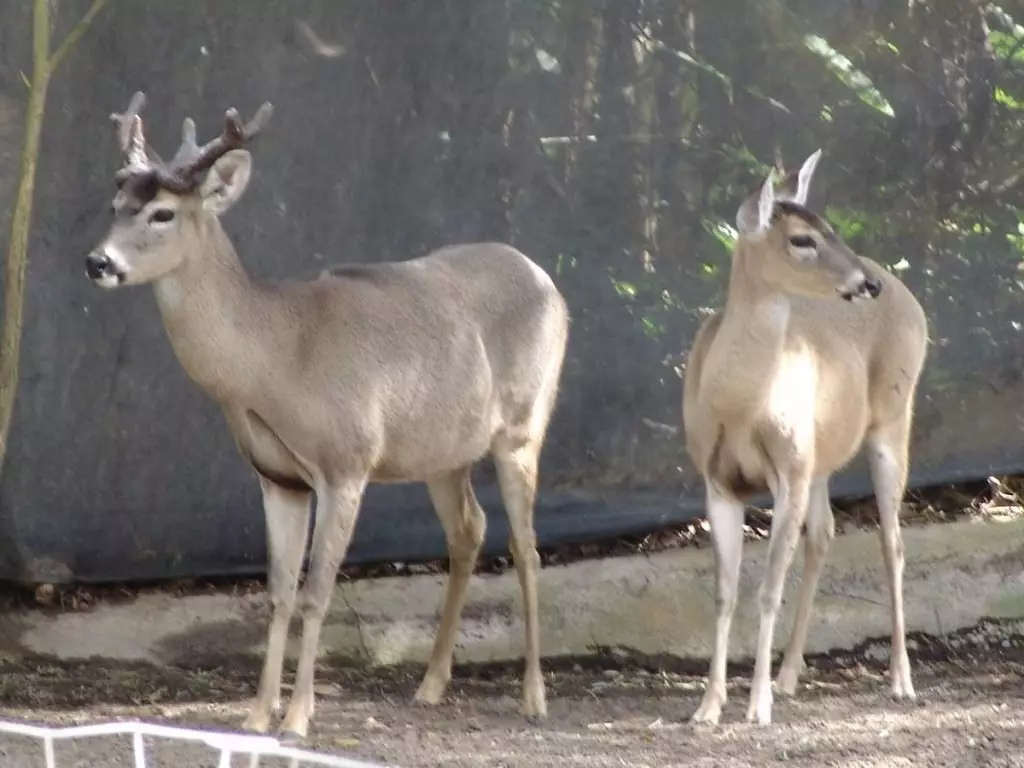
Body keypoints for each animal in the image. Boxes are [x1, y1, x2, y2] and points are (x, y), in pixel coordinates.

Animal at [86, 93, 569, 741]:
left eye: (163, 213)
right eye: (116, 205)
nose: (98, 261)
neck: (278, 359)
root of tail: (550, 285)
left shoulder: (347, 463)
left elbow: (317, 594)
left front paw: (296, 719)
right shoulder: (278, 477)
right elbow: (278, 594)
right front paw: (256, 715)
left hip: (523, 425)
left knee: (526, 544)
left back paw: (534, 696)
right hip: (443, 451)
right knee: (469, 529)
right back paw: (431, 685)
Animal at [679, 151, 929, 729]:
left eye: (831, 226)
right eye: (801, 239)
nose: (866, 283)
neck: (739, 404)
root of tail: (908, 294)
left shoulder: (787, 471)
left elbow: (769, 589)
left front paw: (756, 707)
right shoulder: (718, 480)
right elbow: (724, 593)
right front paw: (708, 707)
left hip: (892, 417)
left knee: (892, 542)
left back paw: (901, 681)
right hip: (820, 455)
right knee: (825, 532)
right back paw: (790, 675)